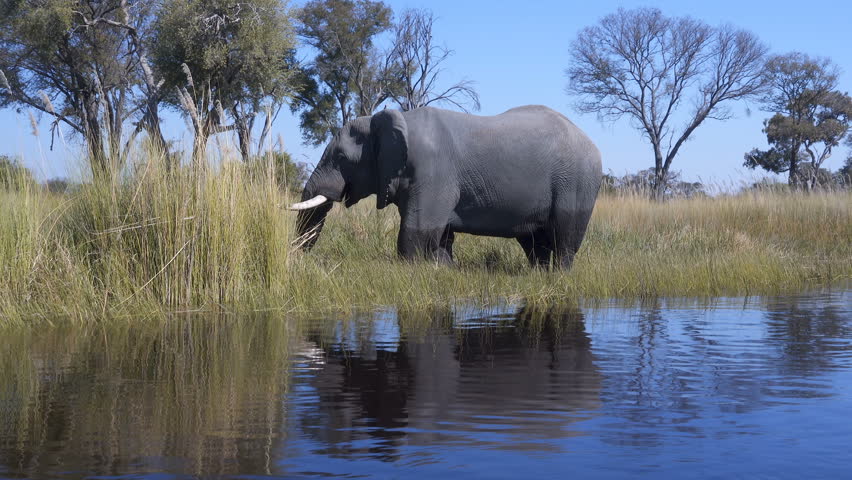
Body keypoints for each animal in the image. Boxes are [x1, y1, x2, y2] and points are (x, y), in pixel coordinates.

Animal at [290, 105, 602, 269]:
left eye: (341, 158)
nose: (301, 262)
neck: (396, 118)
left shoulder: (433, 172)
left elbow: (416, 229)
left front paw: (413, 271)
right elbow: (441, 234)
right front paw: (444, 270)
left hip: (577, 182)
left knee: (564, 237)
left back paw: (558, 274)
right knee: (534, 240)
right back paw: (538, 273)